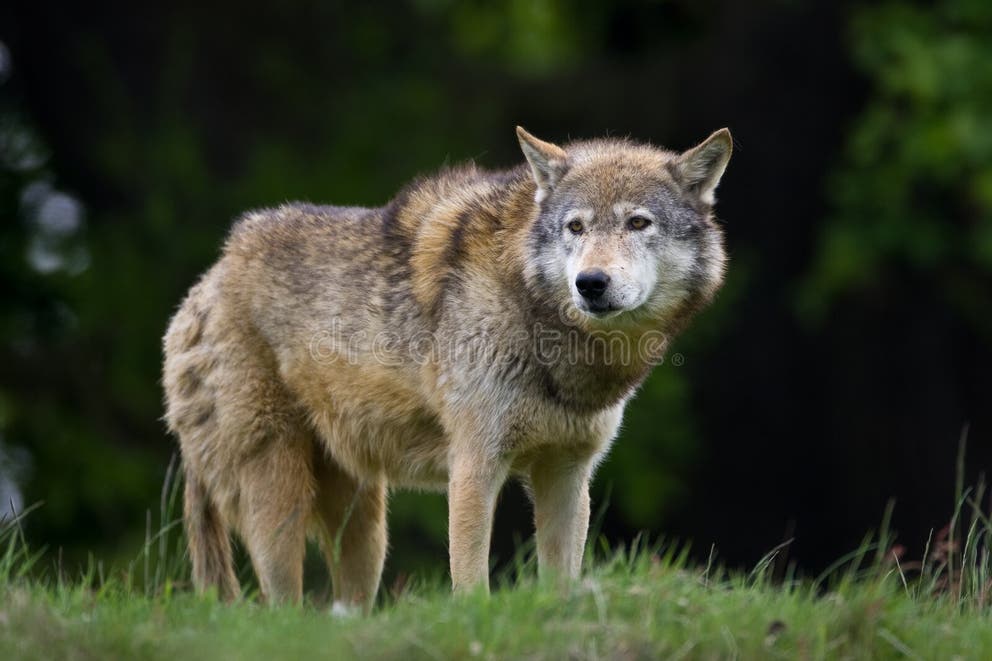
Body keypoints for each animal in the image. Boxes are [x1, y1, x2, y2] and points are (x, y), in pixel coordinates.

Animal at [162, 126, 731, 611]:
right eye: (576, 227)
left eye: (638, 223)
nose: (590, 283)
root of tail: (207, 280)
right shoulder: (475, 465)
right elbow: (471, 584)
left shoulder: (567, 473)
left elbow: (561, 581)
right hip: (280, 501)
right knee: (281, 611)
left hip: (366, 528)